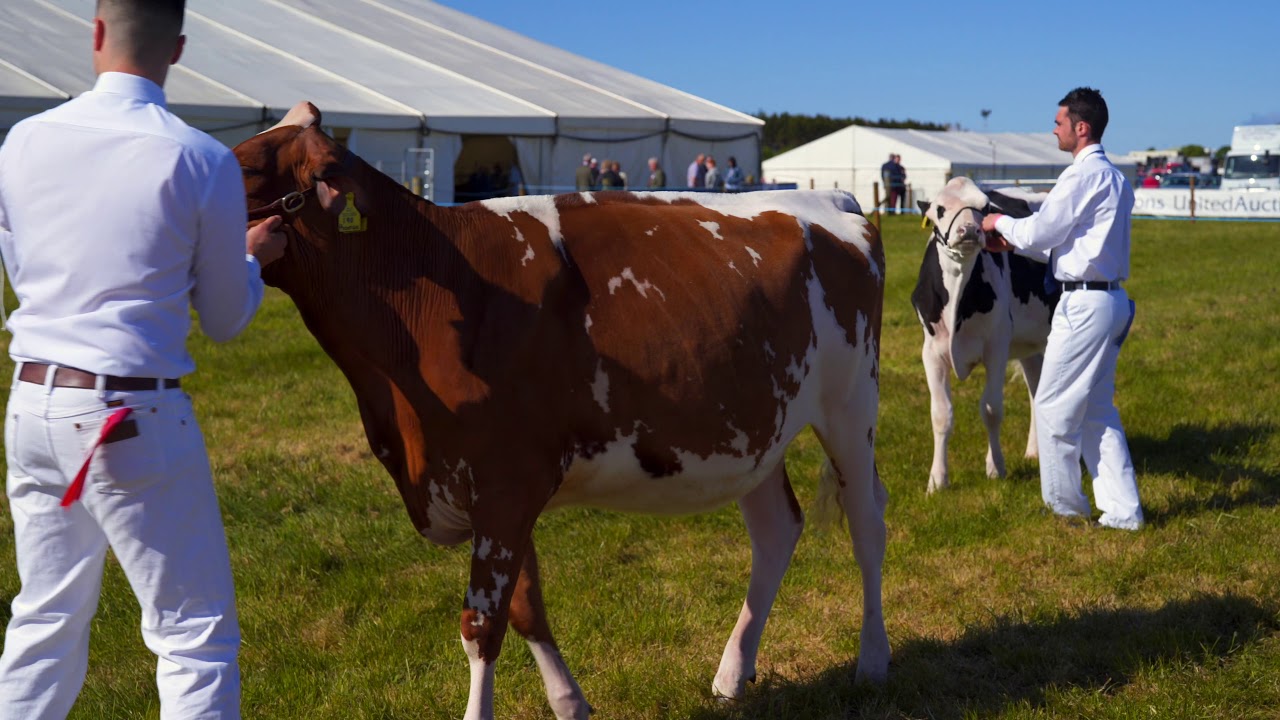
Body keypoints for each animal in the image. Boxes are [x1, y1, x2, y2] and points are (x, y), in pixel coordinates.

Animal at [232, 102, 888, 720]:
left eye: (243, 168)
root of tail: (829, 198)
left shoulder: (506, 478)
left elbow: (481, 626)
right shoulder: (499, 488)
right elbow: (525, 608)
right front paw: (570, 703)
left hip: (851, 407)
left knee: (867, 524)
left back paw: (872, 661)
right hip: (756, 429)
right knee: (777, 529)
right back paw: (732, 675)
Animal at [911, 177, 1059, 494]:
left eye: (985, 208)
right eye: (940, 208)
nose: (968, 230)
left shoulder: (996, 348)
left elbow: (991, 410)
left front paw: (996, 468)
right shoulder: (931, 352)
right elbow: (940, 414)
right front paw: (937, 480)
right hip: (1031, 346)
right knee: (1036, 391)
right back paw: (1034, 452)